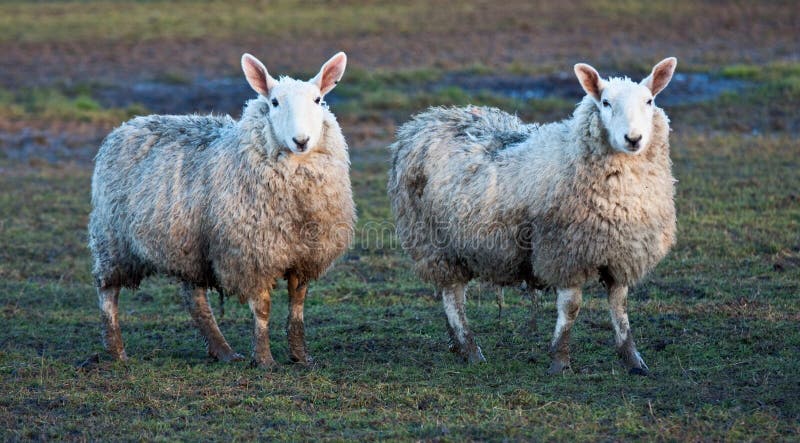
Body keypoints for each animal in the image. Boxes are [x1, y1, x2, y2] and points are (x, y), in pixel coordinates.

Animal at [89, 52, 355, 368]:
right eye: (274, 102)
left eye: (317, 100)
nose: (301, 141)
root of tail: (128, 124)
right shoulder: (252, 253)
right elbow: (262, 308)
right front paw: (264, 359)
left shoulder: (306, 255)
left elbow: (298, 306)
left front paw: (301, 356)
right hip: (113, 239)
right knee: (107, 292)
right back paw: (116, 351)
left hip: (187, 243)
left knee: (194, 298)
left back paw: (223, 350)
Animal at [388, 58, 678, 375]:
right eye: (605, 102)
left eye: (649, 101)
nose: (633, 139)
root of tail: (426, 119)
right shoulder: (564, 251)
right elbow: (571, 307)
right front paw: (560, 361)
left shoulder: (621, 253)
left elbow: (619, 307)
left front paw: (633, 359)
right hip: (435, 241)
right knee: (453, 295)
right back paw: (470, 349)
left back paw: (457, 346)